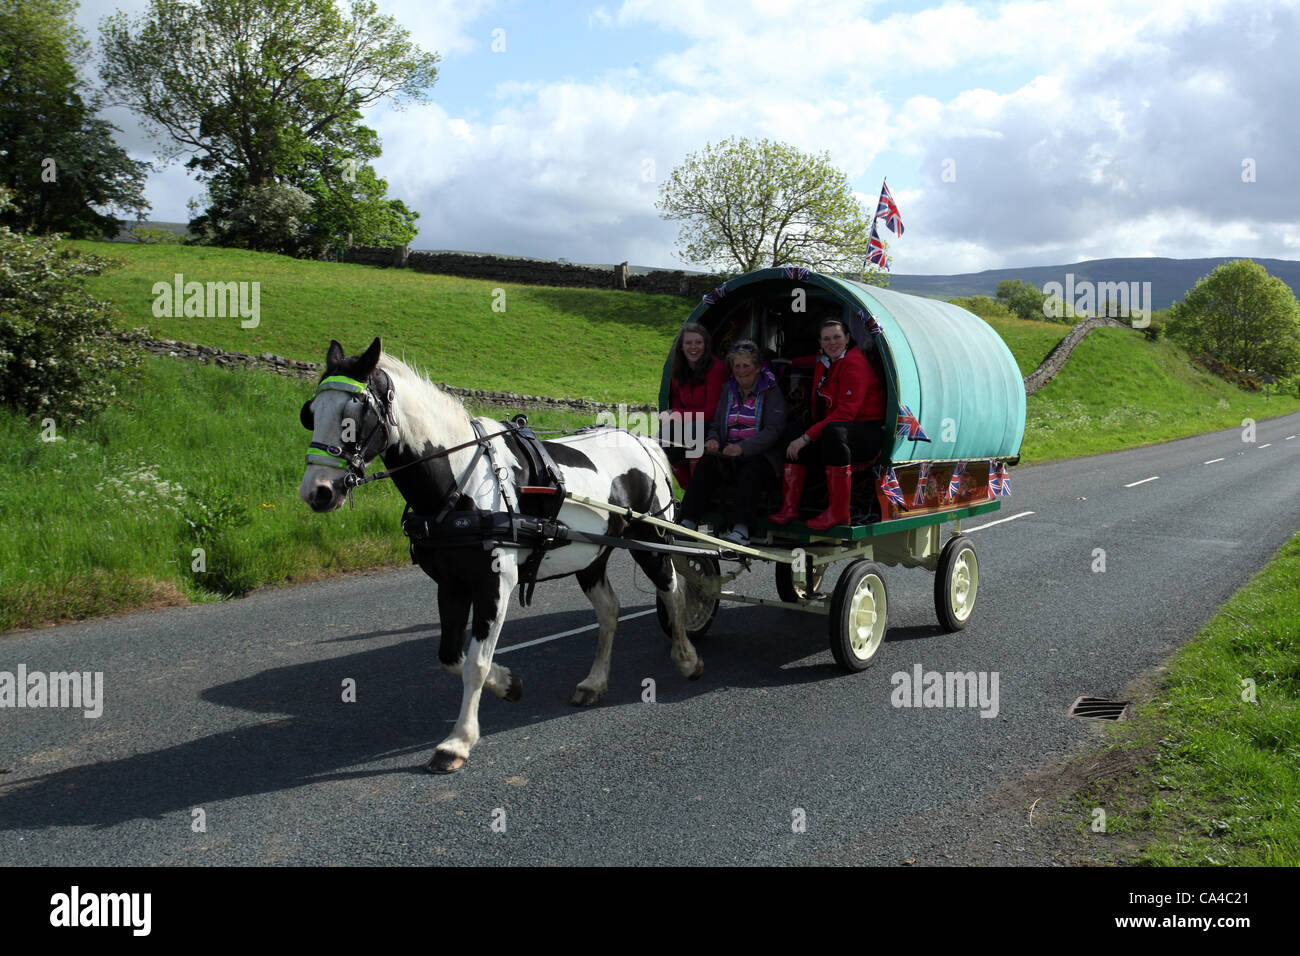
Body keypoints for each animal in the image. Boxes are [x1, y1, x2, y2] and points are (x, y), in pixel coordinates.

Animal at [298, 338, 703, 773]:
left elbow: (475, 662)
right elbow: (451, 656)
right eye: (311, 413)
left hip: (652, 541)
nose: (317, 491)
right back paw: (594, 682)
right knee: (609, 611)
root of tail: (641, 442)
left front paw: (458, 741)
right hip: (591, 555)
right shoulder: (451, 584)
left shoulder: (494, 583)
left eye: (353, 415)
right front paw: (509, 684)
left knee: (673, 593)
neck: (461, 479)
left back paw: (686, 658)